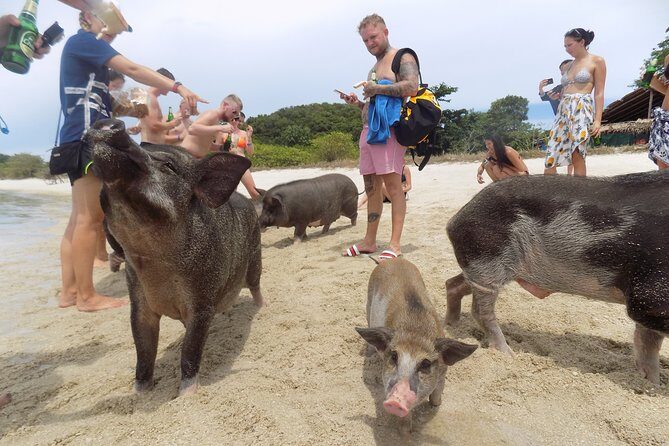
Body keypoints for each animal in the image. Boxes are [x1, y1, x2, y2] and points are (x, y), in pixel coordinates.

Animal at [86, 119, 264, 396]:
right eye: (143, 146)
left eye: (169, 166)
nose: (109, 123)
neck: (154, 260)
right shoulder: (138, 299)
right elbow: (143, 349)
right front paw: (140, 393)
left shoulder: (202, 300)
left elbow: (190, 350)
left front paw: (186, 395)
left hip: (256, 258)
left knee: (255, 287)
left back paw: (261, 309)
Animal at [356, 258, 477, 435]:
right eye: (394, 356)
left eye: (425, 364)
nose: (394, 402)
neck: (415, 332)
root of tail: (391, 260)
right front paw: (405, 432)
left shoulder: (443, 372)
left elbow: (436, 395)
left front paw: (436, 404)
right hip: (367, 303)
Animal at [445, 171, 669, 384]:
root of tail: (455, 220)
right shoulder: (648, 298)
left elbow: (647, 346)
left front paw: (651, 384)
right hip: (486, 260)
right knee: (481, 311)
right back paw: (508, 354)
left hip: (480, 266)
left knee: (452, 284)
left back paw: (451, 325)